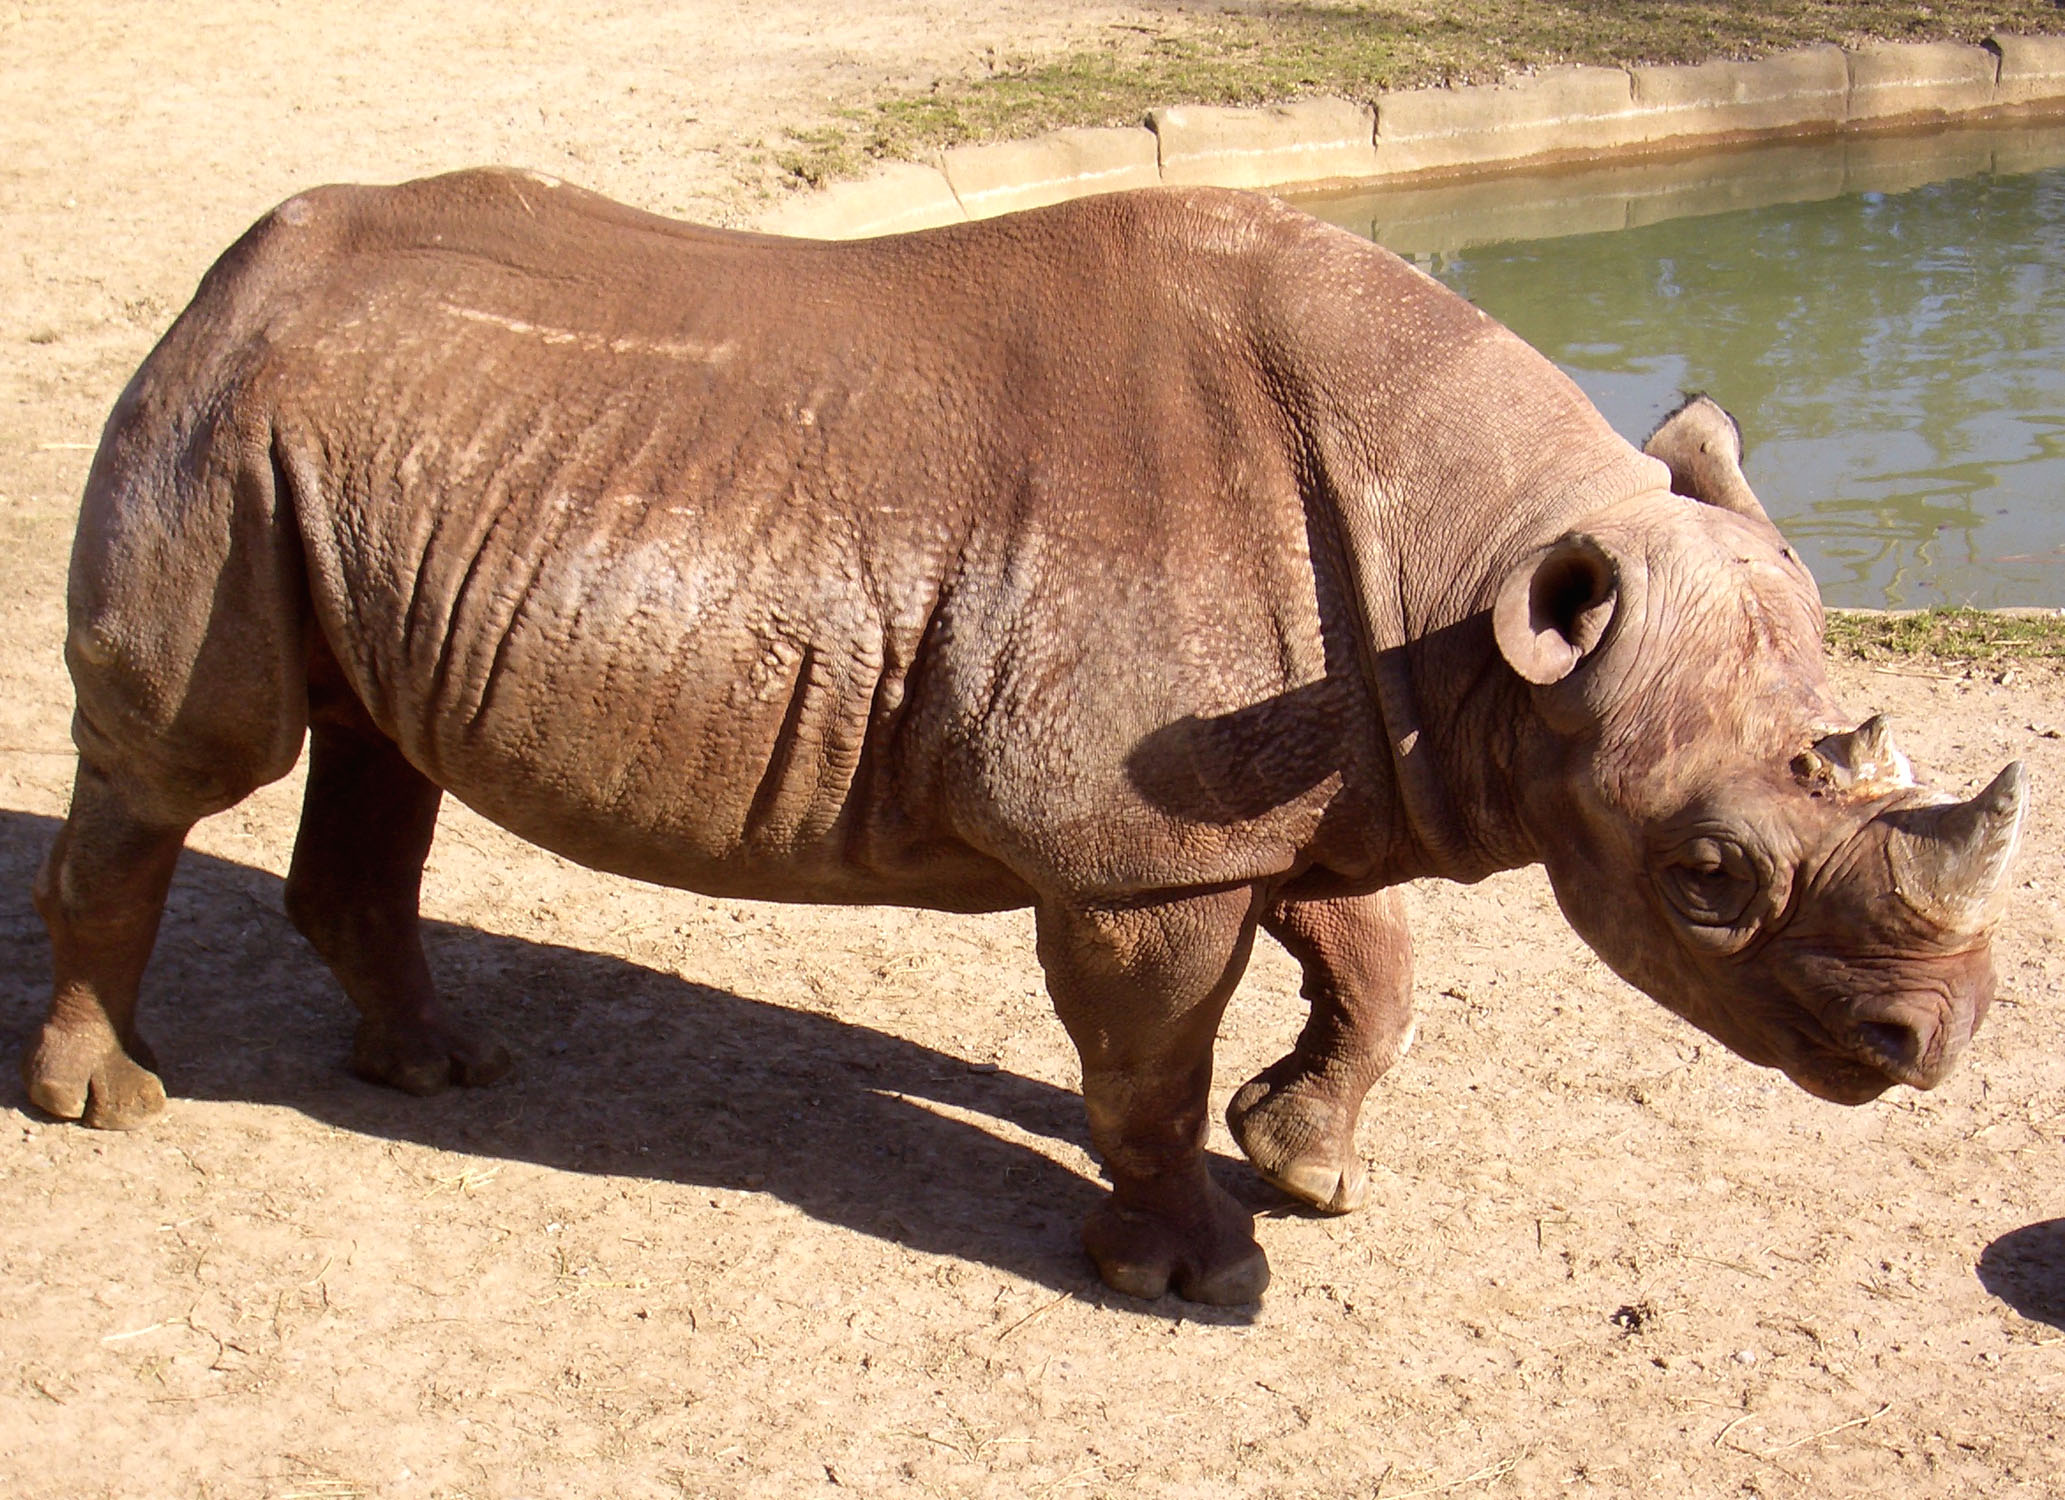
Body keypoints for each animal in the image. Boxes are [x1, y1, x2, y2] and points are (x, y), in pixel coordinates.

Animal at [26, 170, 2026, 1304]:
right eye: (1709, 877)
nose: (1932, 1043)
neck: (1470, 586)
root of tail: (234, 274)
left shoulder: (1303, 765)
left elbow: (1371, 957)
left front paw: (1308, 1166)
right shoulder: (1142, 843)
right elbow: (1146, 1056)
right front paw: (1195, 1274)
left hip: (353, 440)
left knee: (378, 749)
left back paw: (439, 1075)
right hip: (224, 418)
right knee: (195, 762)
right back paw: (105, 1105)